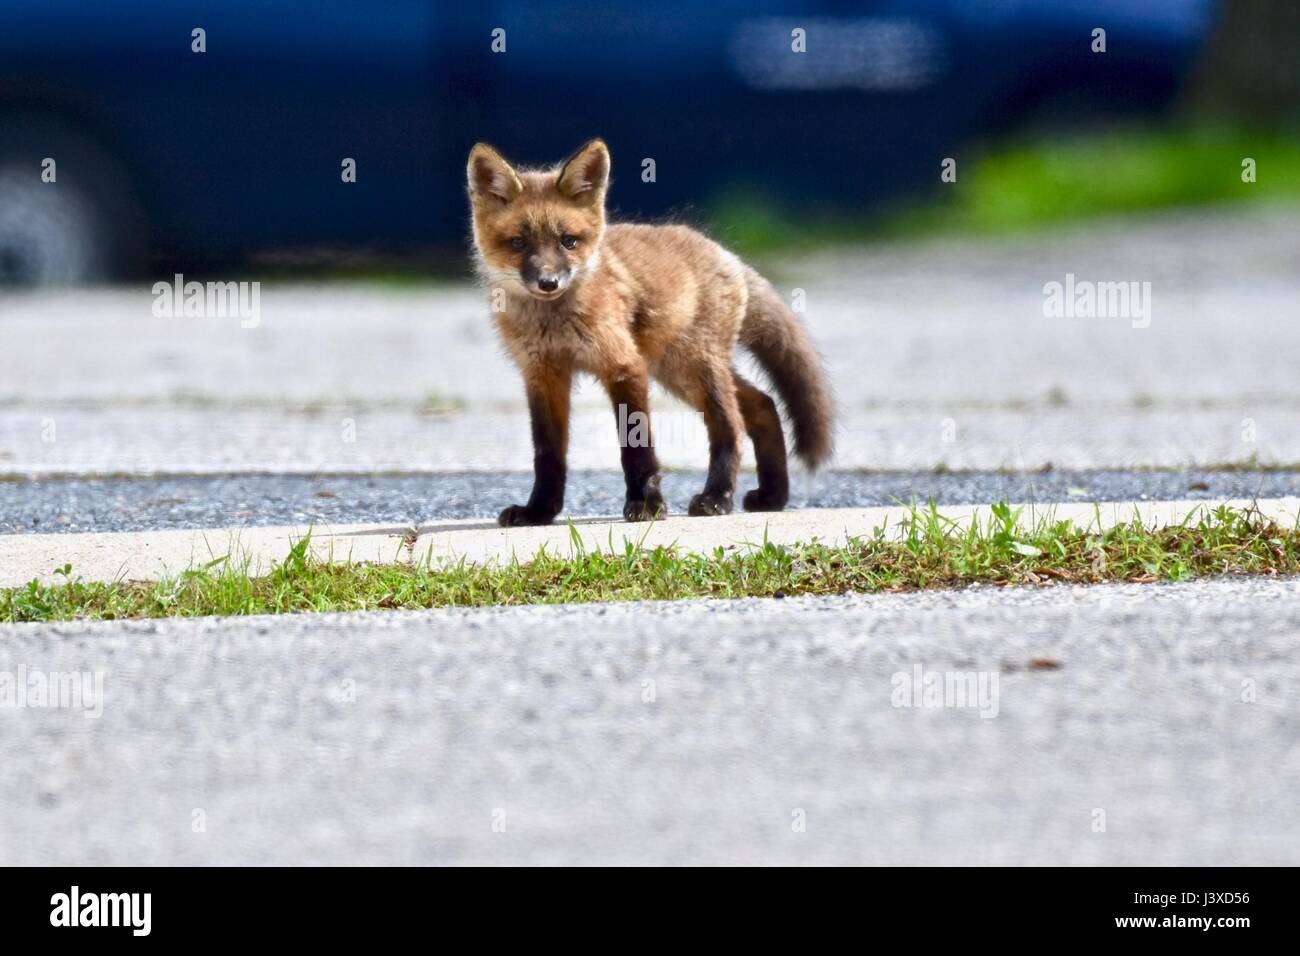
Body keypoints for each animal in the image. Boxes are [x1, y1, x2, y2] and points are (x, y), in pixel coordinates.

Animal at [466, 138, 834, 526]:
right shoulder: (543, 376)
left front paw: (646, 504)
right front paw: (539, 511)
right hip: (677, 373)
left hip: (696, 368)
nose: (548, 282)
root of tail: (723, 252)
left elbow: (636, 445)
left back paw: (718, 497)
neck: (552, 322)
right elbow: (547, 454)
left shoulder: (625, 366)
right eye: (518, 243)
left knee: (731, 425)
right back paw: (773, 495)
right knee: (763, 404)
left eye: (568, 241)